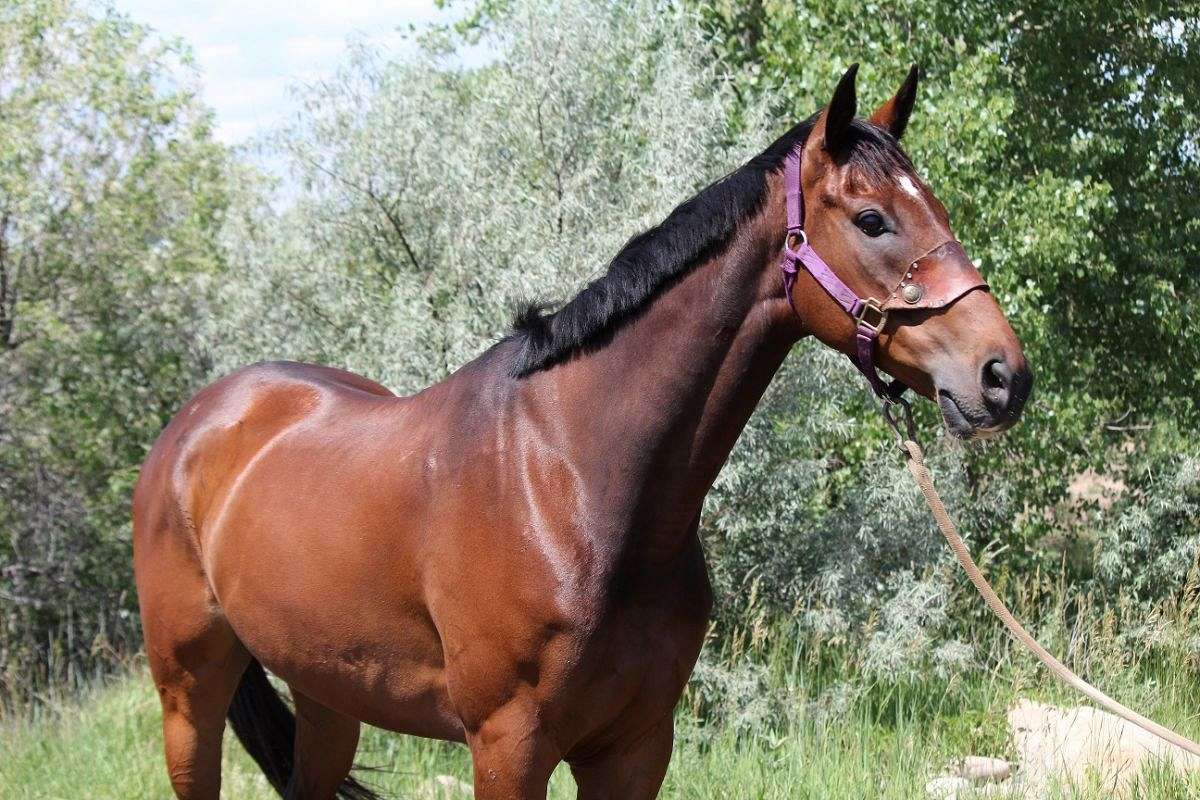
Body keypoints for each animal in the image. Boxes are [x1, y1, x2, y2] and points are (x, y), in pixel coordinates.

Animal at [133, 64, 1032, 800]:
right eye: (874, 220)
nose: (1002, 376)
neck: (572, 479)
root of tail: (200, 421)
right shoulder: (508, 745)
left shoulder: (635, 744)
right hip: (189, 693)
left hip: (326, 694)